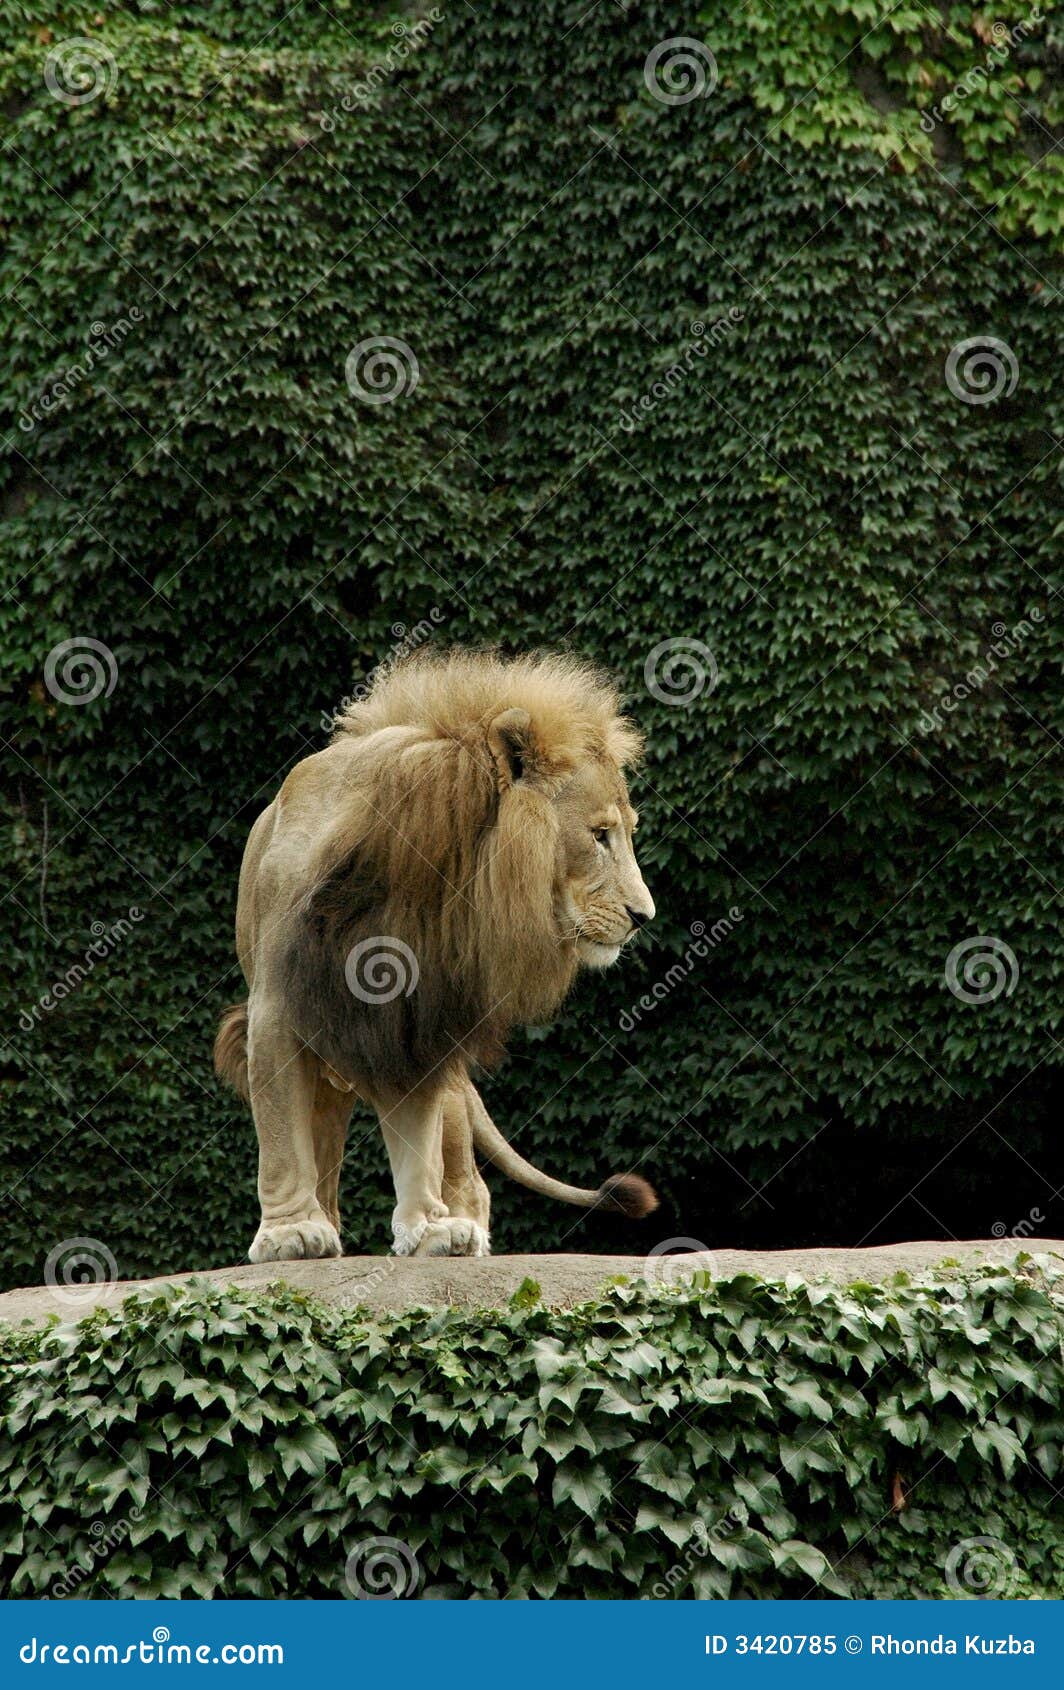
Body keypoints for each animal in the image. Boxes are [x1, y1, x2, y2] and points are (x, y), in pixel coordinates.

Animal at [214, 647, 658, 1261]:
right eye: (599, 835)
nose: (645, 916)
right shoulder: (278, 1009)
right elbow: (282, 1136)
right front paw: (289, 1232)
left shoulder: (418, 1018)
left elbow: (417, 1138)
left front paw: (426, 1227)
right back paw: (325, 1226)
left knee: (467, 1175)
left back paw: (462, 1229)